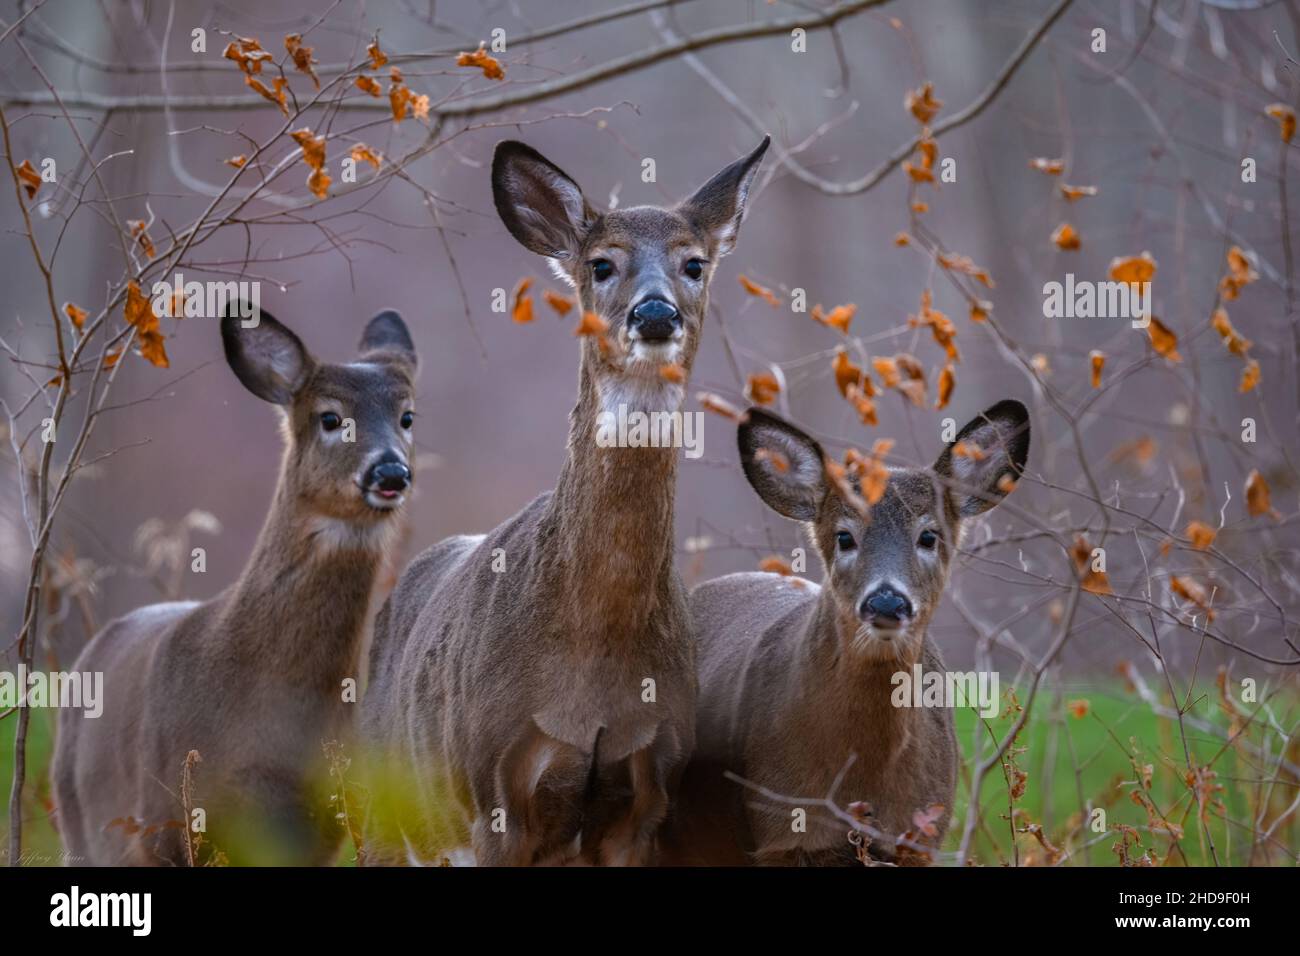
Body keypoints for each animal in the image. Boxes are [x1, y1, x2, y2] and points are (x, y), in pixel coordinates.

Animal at [52, 305, 419, 865]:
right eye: (330, 417)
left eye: (407, 416)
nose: (390, 471)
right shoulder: (165, 818)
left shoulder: (321, 825)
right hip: (77, 817)